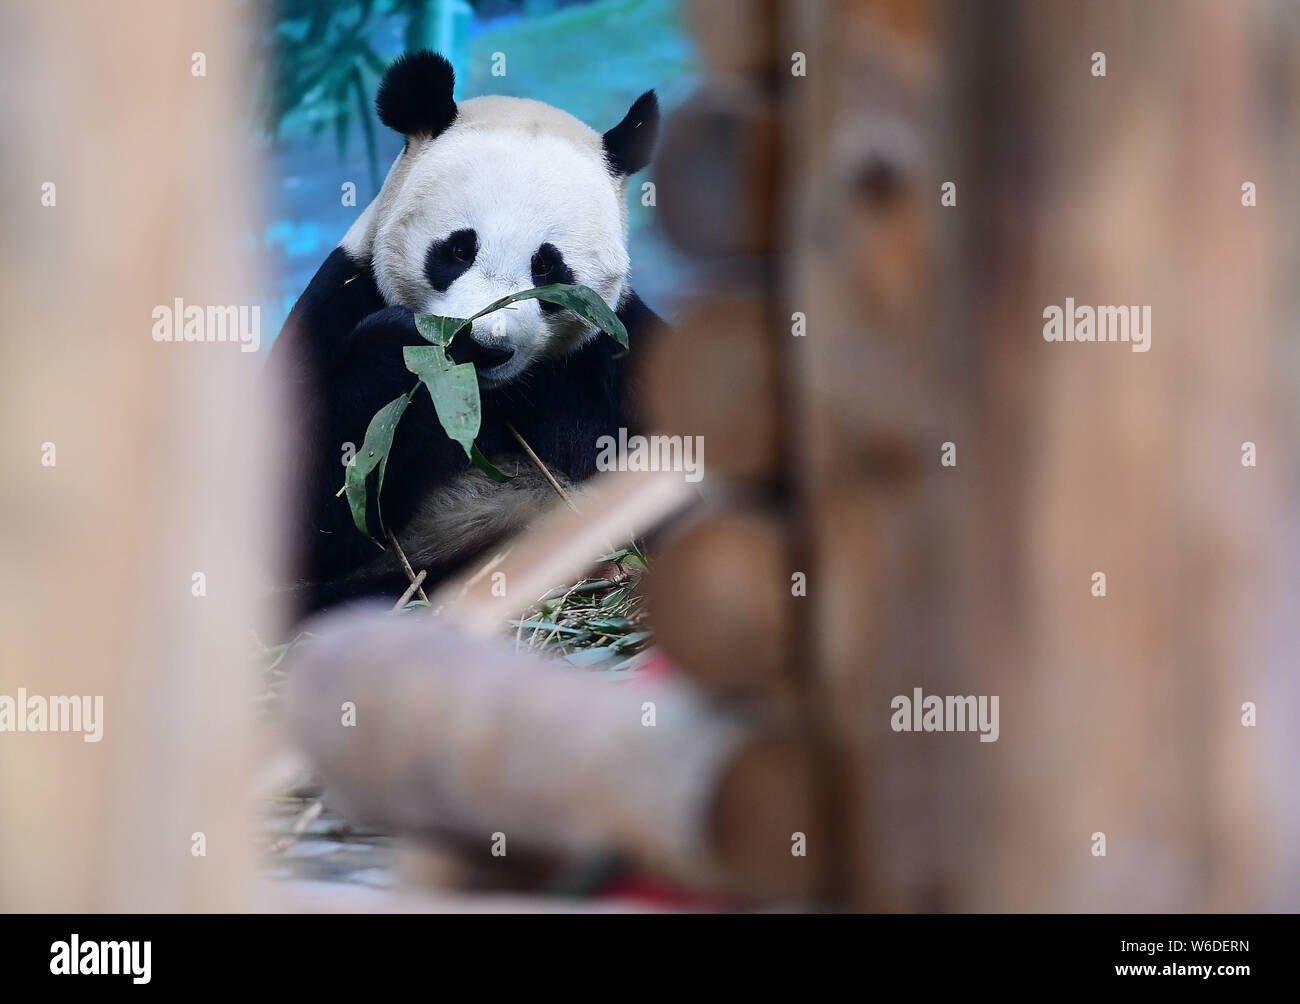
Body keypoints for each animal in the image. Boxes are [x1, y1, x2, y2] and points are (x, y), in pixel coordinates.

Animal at [269, 50, 664, 615]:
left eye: (547, 267)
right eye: (458, 249)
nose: (483, 346)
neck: (484, 399)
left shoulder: (614, 353)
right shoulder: (338, 302)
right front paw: (404, 352)